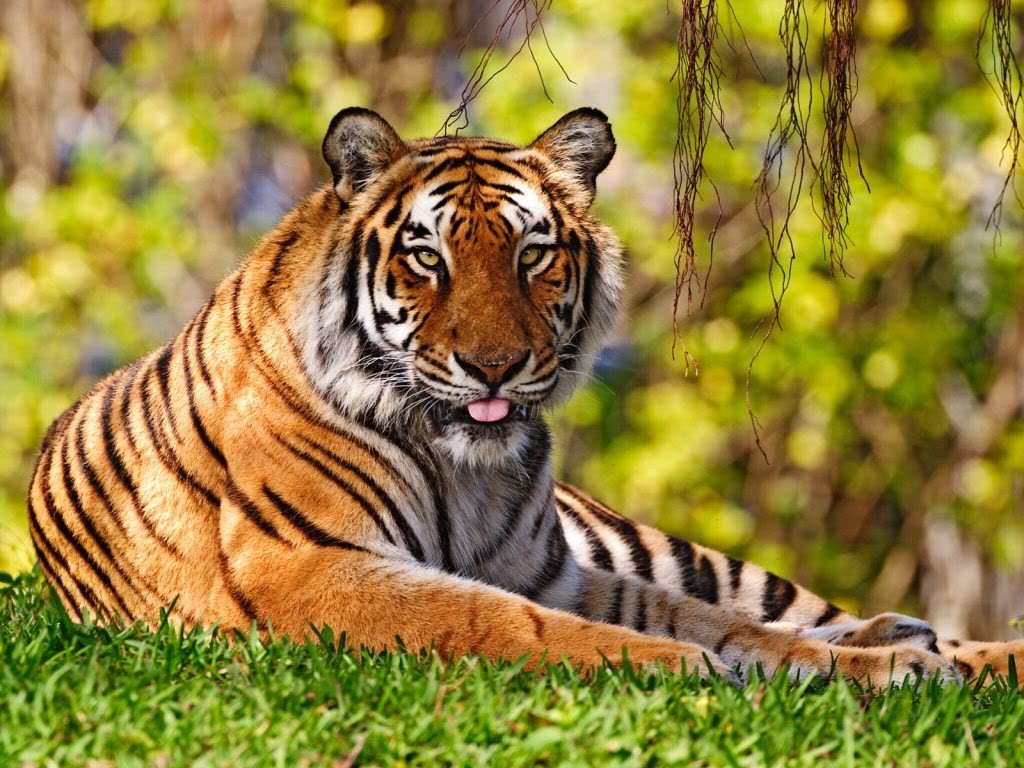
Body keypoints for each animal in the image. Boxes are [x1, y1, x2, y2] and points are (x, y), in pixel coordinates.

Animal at [28, 106, 1022, 685]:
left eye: (533, 253)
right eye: (427, 257)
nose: (495, 366)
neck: (466, 468)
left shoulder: (558, 570)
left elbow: (726, 624)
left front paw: (882, 668)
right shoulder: (312, 567)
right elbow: (510, 624)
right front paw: (689, 667)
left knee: (808, 610)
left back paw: (931, 645)